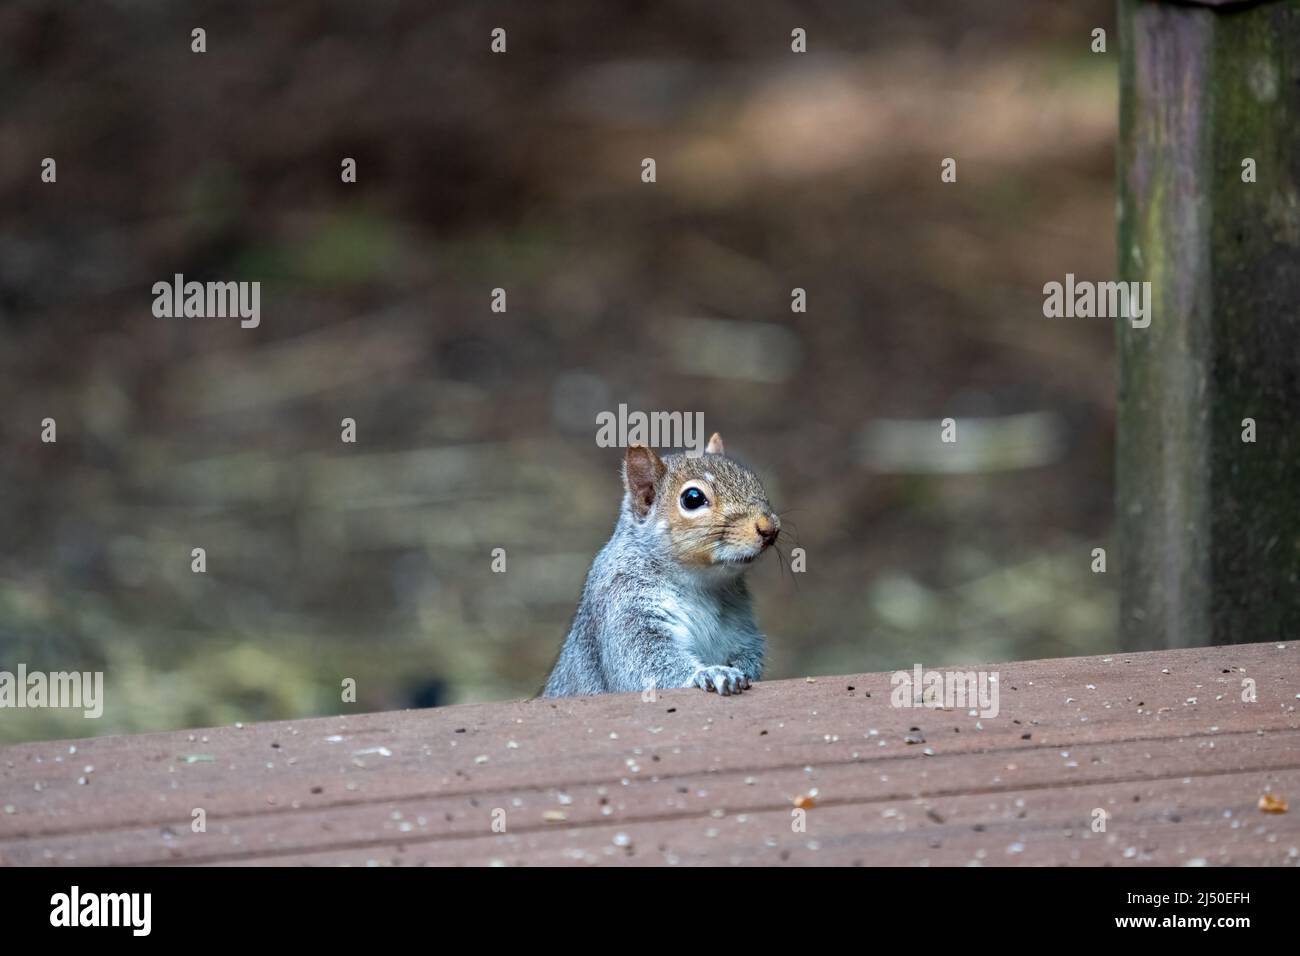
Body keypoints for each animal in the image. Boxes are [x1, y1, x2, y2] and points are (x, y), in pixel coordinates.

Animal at [543, 432, 780, 698]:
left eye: (752, 479)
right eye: (692, 498)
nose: (770, 528)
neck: (701, 583)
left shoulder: (739, 626)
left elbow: (748, 650)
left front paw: (743, 668)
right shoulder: (623, 605)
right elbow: (644, 666)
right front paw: (712, 673)